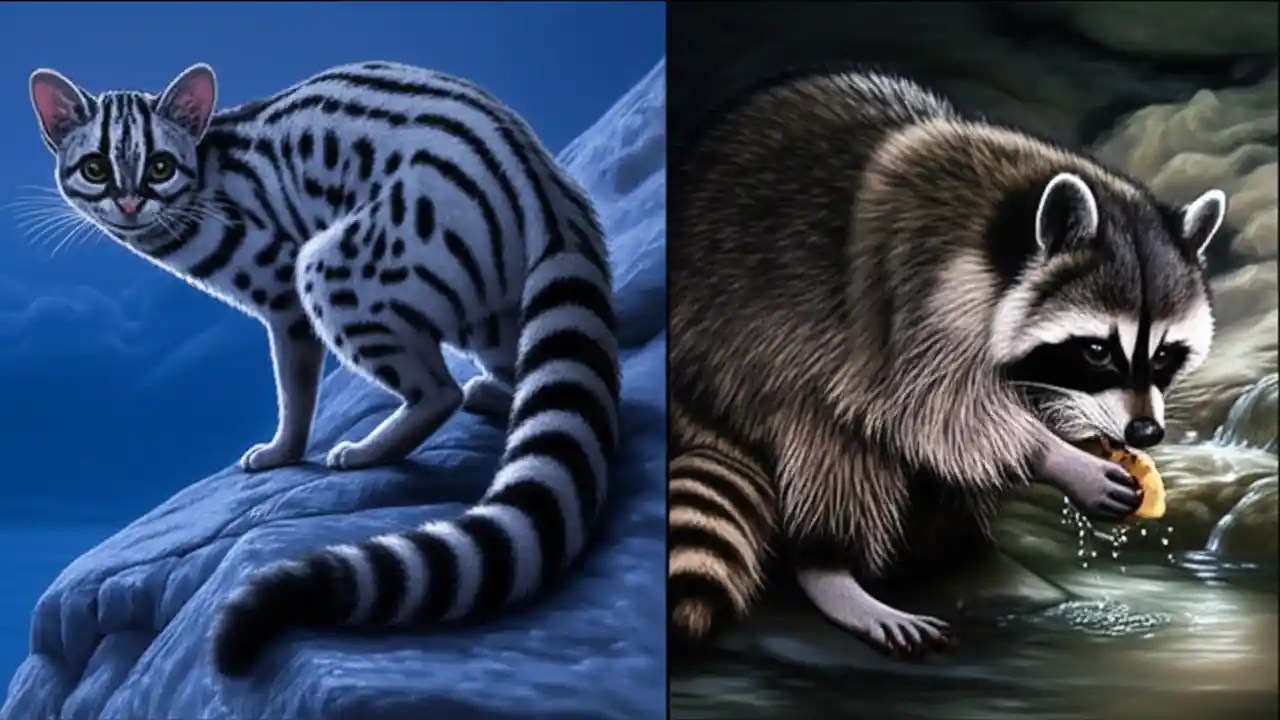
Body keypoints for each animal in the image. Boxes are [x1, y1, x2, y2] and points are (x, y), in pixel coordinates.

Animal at [668, 69, 1224, 656]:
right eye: (1097, 351)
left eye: (1164, 355)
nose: (1146, 432)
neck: (1002, 245)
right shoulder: (907, 291)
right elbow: (928, 408)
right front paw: (1058, 457)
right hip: (749, 352)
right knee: (830, 432)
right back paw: (830, 563)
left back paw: (964, 552)